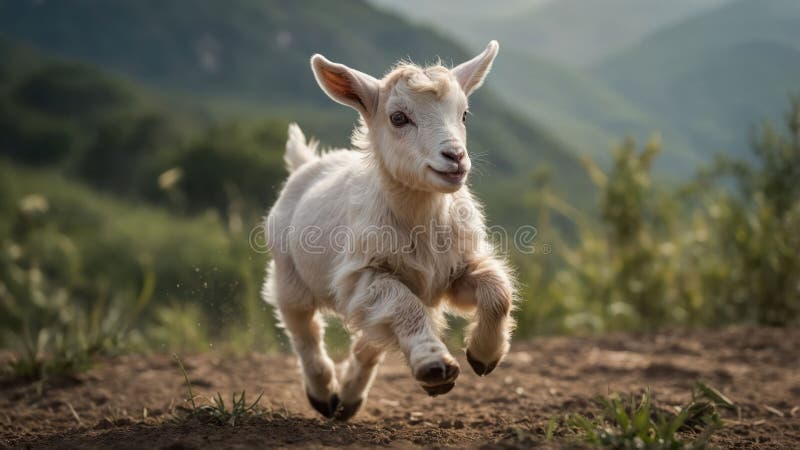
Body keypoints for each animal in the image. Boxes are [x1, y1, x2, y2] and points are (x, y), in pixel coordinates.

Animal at [262, 41, 516, 421]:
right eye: (398, 118)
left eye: (464, 115)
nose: (455, 157)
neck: (421, 218)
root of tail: (307, 163)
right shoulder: (361, 275)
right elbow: (405, 306)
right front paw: (435, 366)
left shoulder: (454, 271)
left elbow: (498, 292)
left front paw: (484, 355)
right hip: (288, 275)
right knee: (304, 331)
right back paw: (324, 395)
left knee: (369, 341)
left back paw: (348, 400)